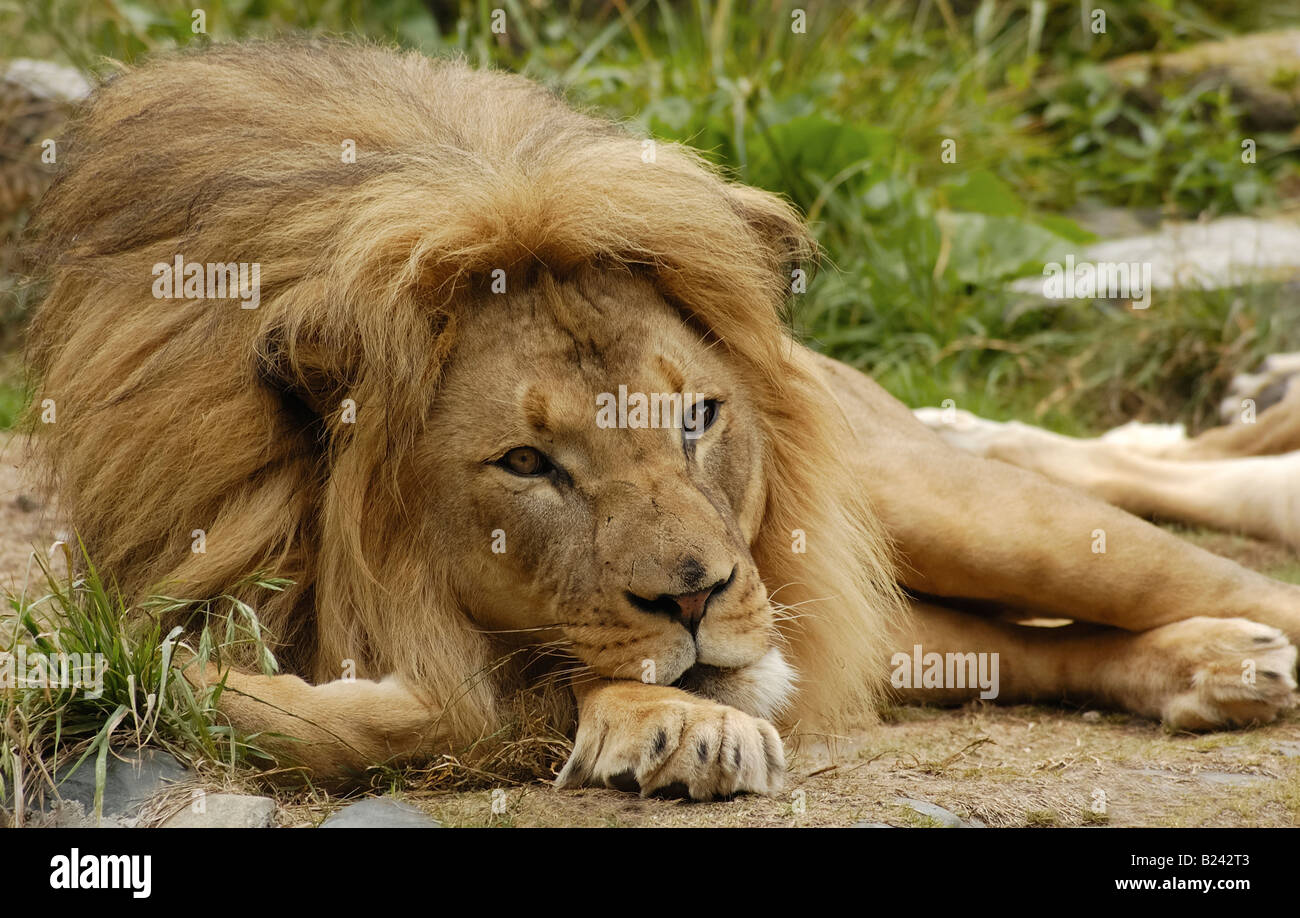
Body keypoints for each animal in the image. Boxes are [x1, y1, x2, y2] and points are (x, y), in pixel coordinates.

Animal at [24, 41, 1300, 798]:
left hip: (961, 512)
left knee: (1227, 569)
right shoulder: (145, 621)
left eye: (697, 416)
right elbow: (336, 707)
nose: (696, 595)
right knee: (1011, 645)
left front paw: (673, 720)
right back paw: (1206, 671)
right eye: (526, 462)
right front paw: (670, 721)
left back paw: (1236, 647)